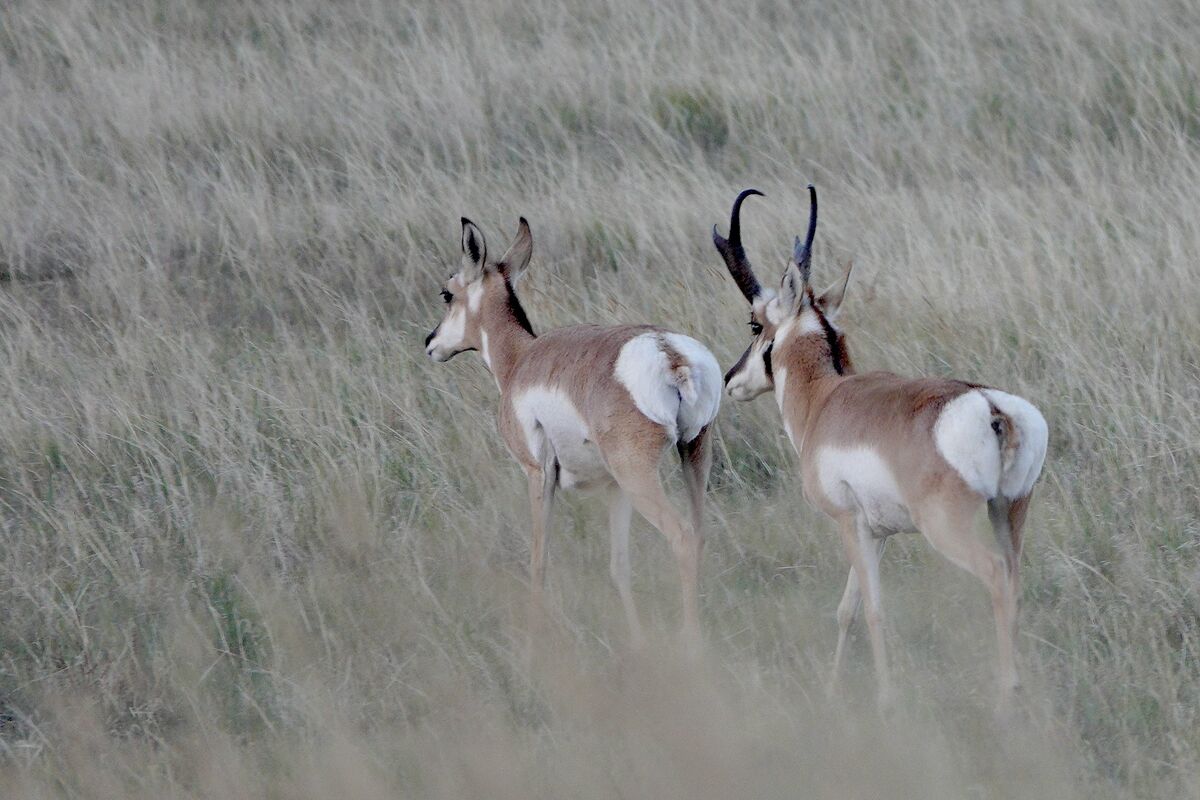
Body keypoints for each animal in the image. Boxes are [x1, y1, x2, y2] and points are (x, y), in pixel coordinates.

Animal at [425, 217, 722, 647]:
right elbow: (619, 566)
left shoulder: (538, 474)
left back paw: (692, 643)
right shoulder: (614, 489)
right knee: (698, 534)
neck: (522, 360)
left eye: (447, 292)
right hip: (693, 454)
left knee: (681, 536)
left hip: (639, 476)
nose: (430, 343)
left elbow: (538, 561)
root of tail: (669, 352)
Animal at [712, 187, 1048, 712]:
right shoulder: (879, 531)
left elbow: (872, 608)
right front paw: (833, 690)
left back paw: (1005, 695)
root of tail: (991, 406)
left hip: (947, 527)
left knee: (994, 574)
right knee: (1014, 580)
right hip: (1009, 514)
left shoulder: (849, 522)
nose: (730, 380)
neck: (827, 398)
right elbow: (847, 609)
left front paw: (885, 700)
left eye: (754, 324)